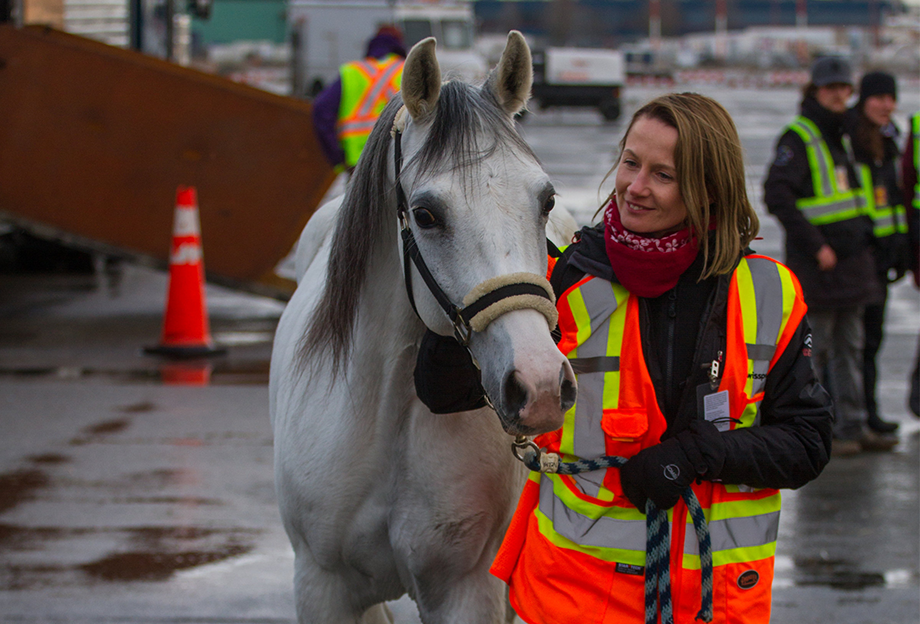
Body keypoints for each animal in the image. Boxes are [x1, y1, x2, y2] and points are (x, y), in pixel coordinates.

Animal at [269, 32, 577, 623]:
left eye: (546, 200)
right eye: (427, 214)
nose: (540, 384)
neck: (386, 416)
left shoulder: (466, 589)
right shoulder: (322, 587)